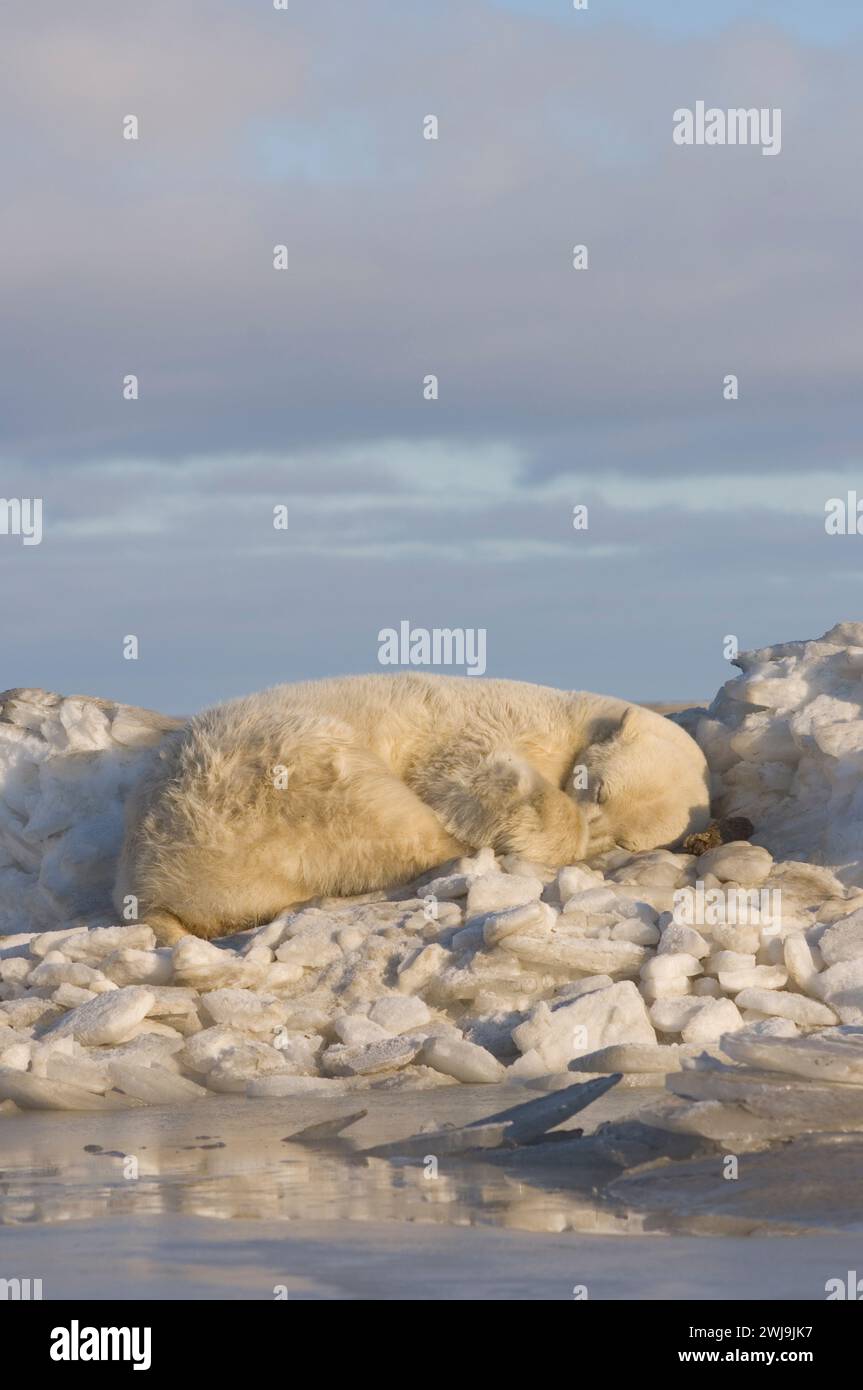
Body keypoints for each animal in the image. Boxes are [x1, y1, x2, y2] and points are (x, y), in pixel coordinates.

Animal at [113, 672, 711, 943]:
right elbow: (465, 773)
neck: (568, 723)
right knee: (381, 814)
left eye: (628, 840)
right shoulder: (488, 722)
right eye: (600, 789)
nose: (593, 826)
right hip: (275, 777)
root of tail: (149, 881)